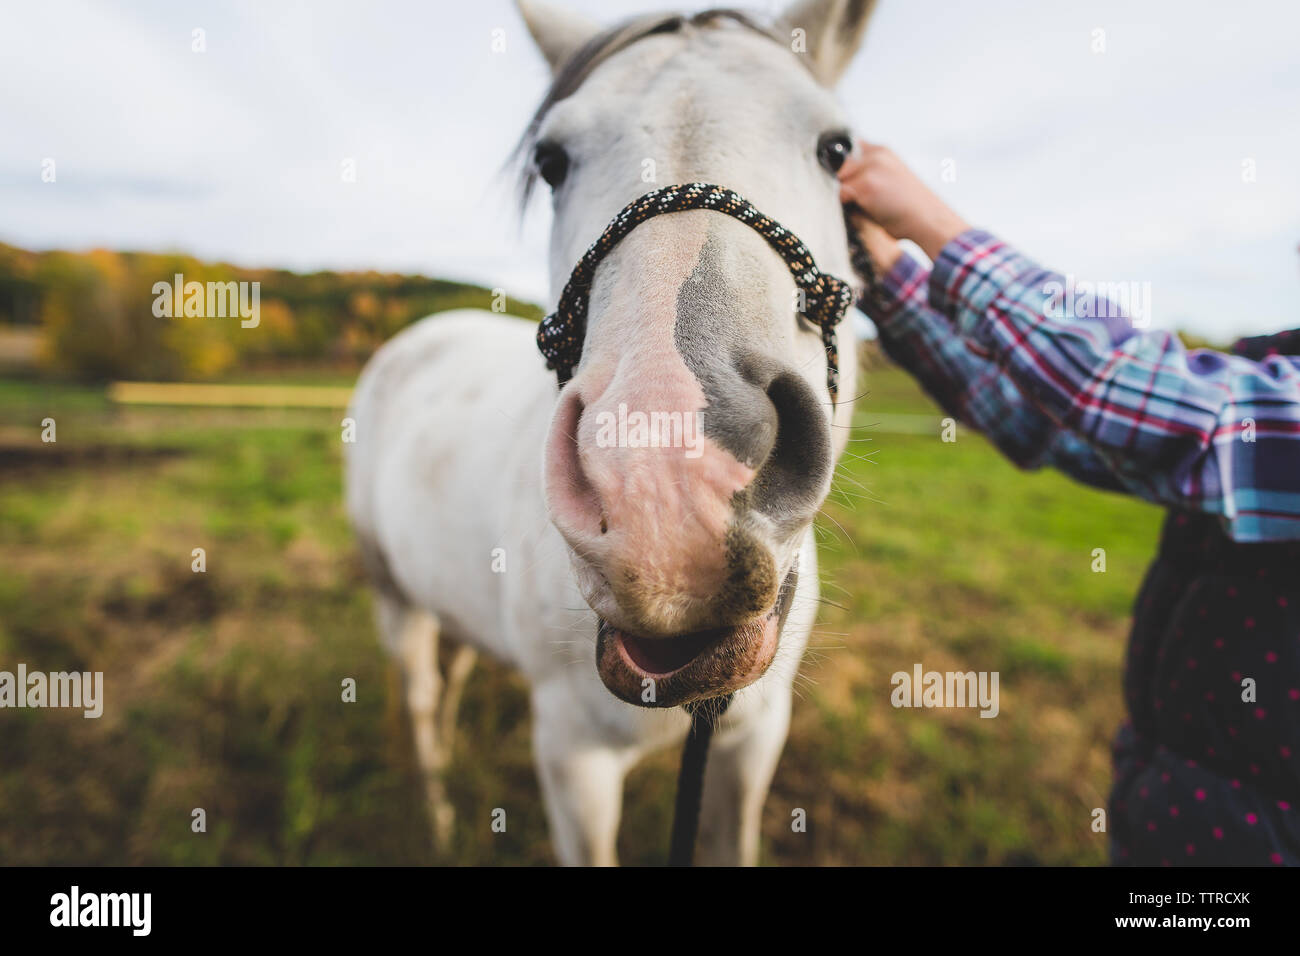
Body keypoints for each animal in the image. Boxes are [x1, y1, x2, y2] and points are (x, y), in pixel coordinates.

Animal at [344, 0, 877, 866]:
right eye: (551, 159)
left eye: (838, 149)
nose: (670, 490)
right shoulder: (573, 757)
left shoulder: (752, 741)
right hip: (394, 594)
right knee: (421, 698)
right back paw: (438, 818)